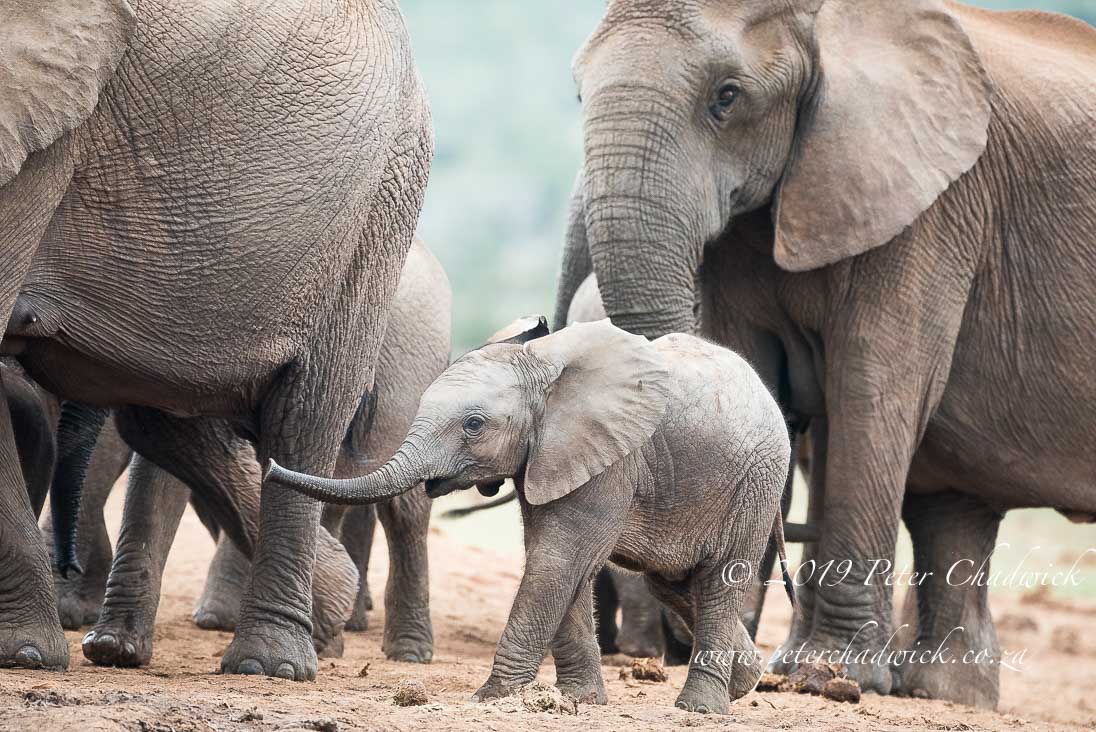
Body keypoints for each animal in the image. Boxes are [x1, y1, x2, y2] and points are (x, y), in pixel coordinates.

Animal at [0, 0, 432, 679]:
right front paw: (27, 651)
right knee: (165, 419)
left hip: (375, 215)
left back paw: (273, 663)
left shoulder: (42, 142)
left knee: (301, 418)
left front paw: (23, 655)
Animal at [266, 319, 793, 714]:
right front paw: (578, 700)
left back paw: (699, 709)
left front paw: (492, 698)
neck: (540, 363)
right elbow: (563, 566)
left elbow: (557, 560)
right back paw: (745, 682)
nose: (270, 466)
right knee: (675, 583)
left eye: (474, 425)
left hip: (757, 483)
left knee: (719, 580)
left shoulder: (614, 458)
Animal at [552, 0, 1096, 708]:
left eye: (726, 98)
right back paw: (943, 693)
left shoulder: (932, 208)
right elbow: (758, 371)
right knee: (952, 505)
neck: (827, 22)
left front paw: (825, 676)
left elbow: (871, 390)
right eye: (578, 94)